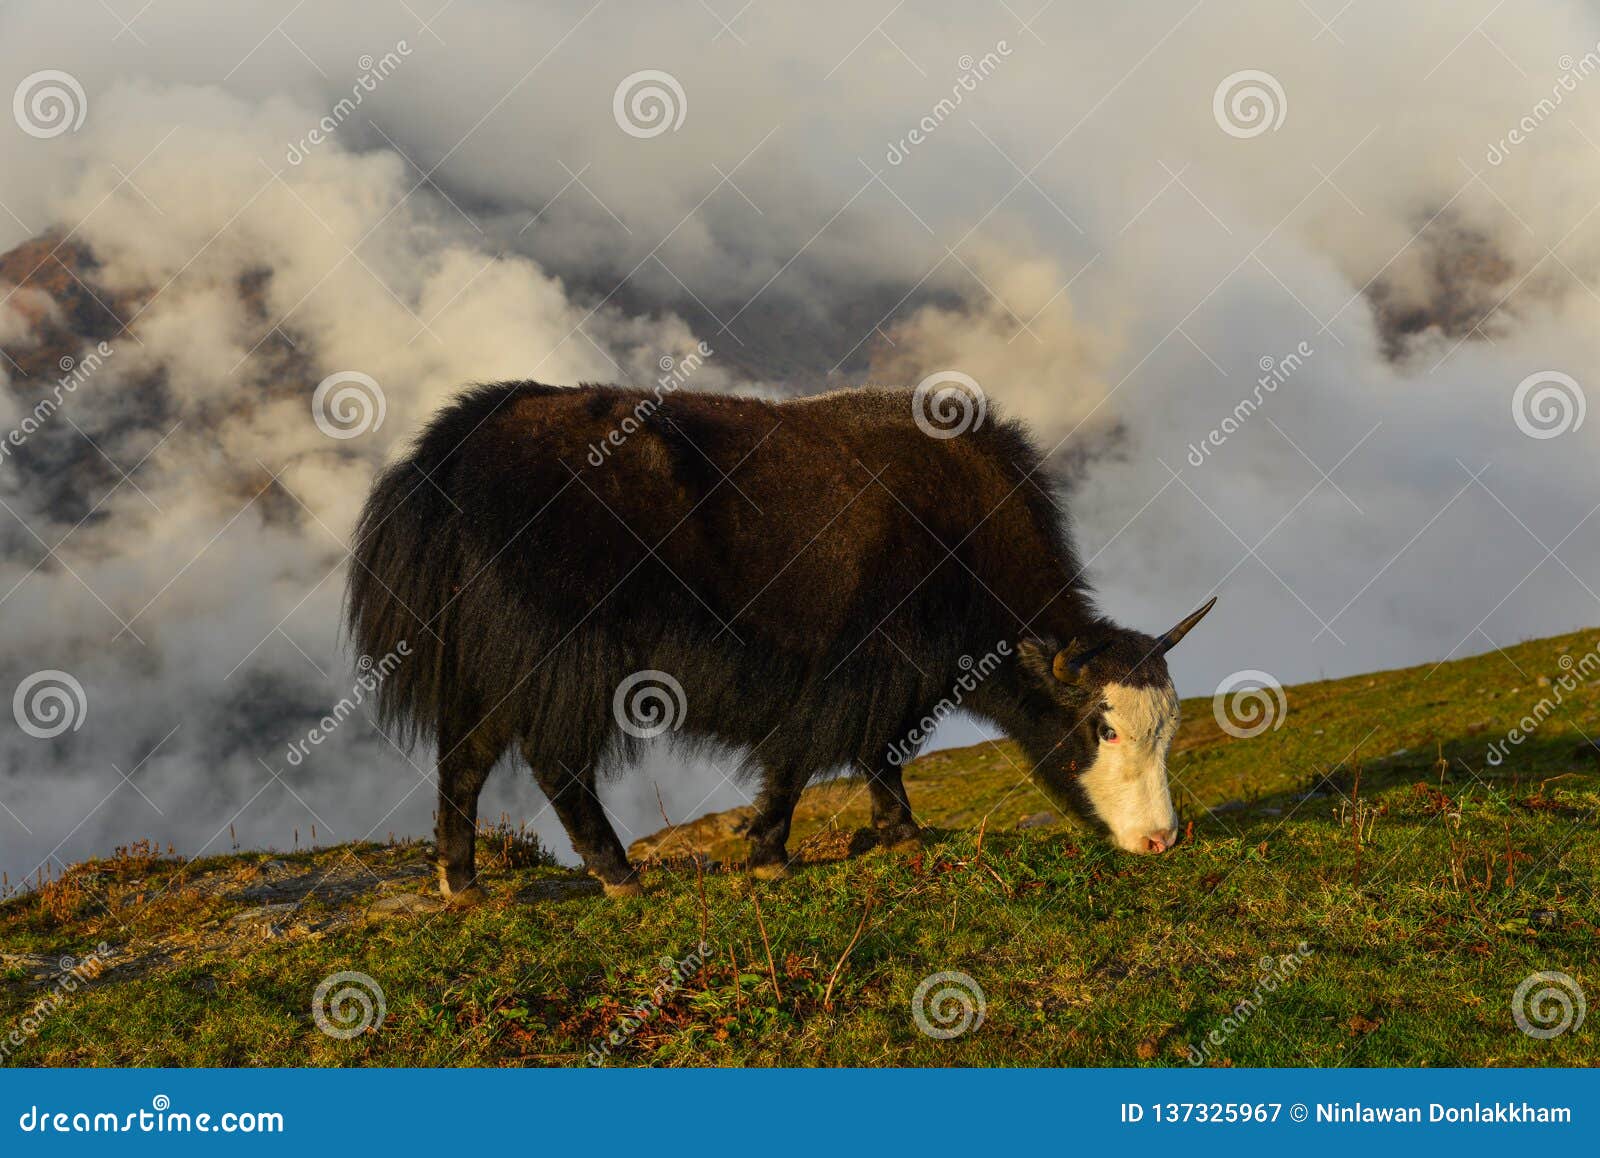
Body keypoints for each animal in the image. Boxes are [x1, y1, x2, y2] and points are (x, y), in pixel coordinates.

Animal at [345, 382, 1215, 902]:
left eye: (1171, 729)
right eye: (1103, 728)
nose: (1161, 840)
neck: (959, 534)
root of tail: (459, 445)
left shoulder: (898, 676)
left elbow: (884, 749)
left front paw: (899, 833)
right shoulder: (847, 667)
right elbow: (809, 755)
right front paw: (770, 853)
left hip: (488, 659)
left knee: (465, 755)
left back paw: (462, 883)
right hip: (565, 656)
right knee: (554, 759)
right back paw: (619, 874)